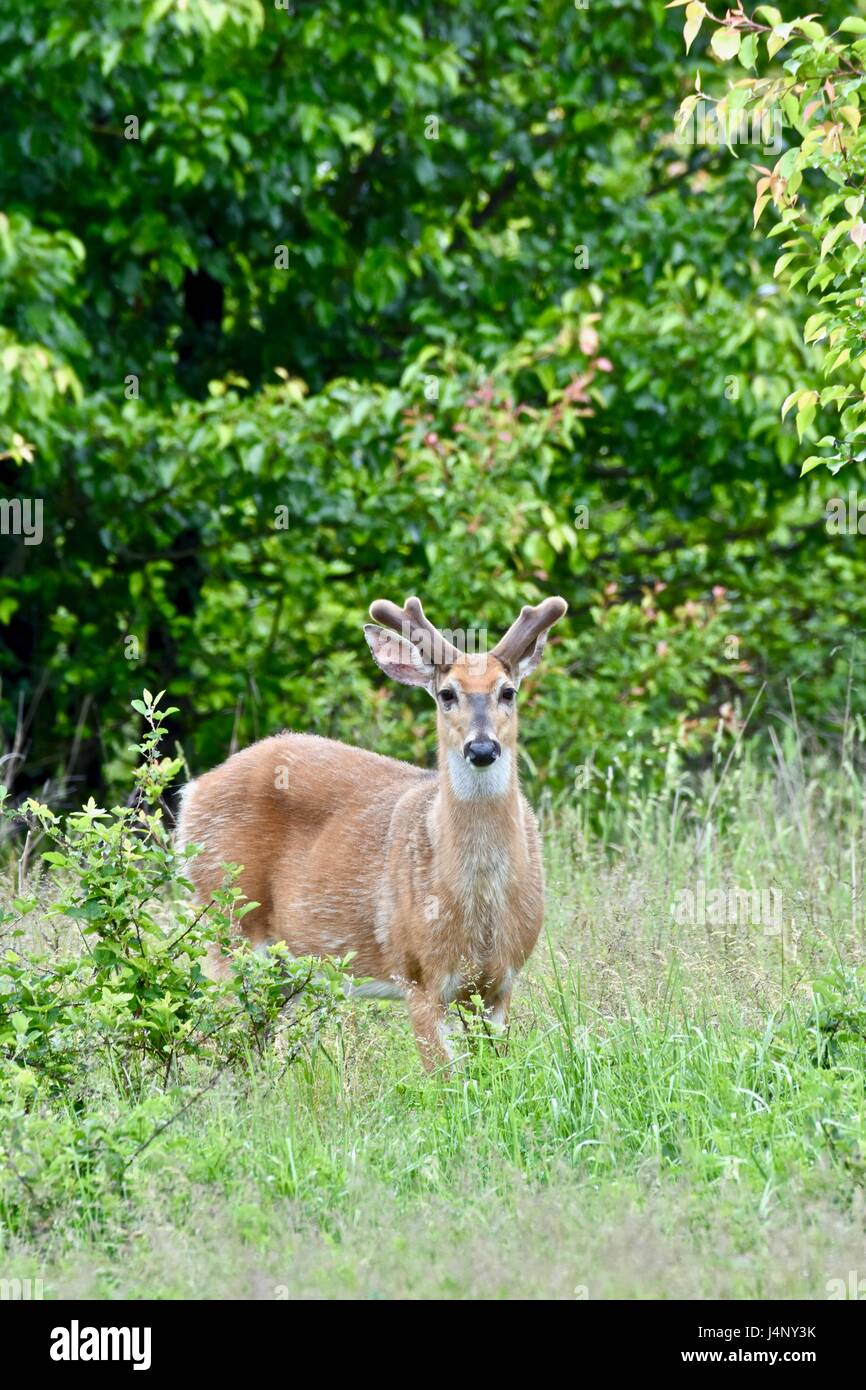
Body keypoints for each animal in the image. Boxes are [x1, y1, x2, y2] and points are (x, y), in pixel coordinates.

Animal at [175, 594, 567, 1069]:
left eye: (507, 691)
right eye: (447, 694)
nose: (481, 748)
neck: (477, 905)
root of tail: (192, 793)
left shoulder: (501, 982)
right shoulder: (417, 973)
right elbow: (446, 1077)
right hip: (224, 917)